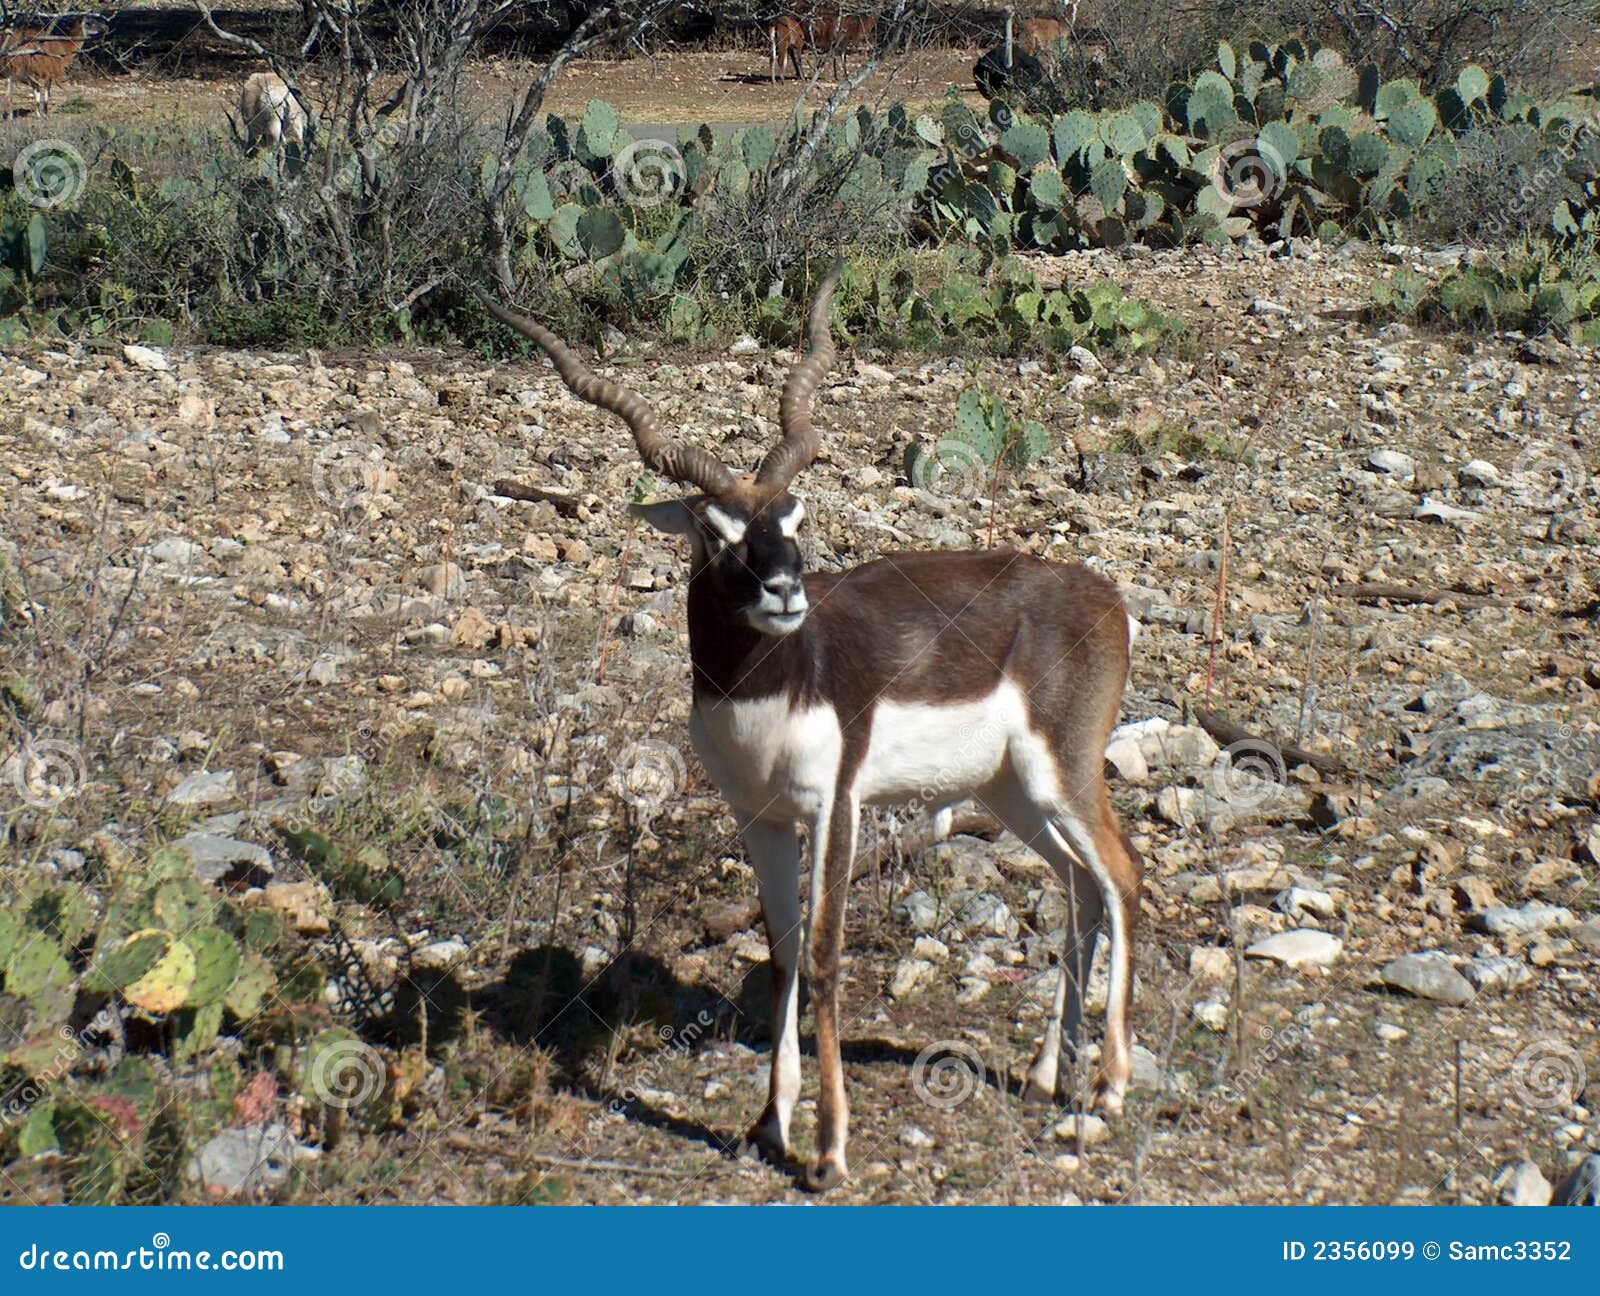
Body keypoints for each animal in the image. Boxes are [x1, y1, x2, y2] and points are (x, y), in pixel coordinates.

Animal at [480, 264, 1143, 1193]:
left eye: (794, 520)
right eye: (715, 532)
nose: (785, 592)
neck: (772, 694)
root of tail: (1102, 596)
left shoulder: (837, 805)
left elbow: (826, 957)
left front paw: (828, 1148)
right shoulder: (759, 818)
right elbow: (784, 951)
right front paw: (769, 1122)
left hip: (1064, 771)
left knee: (1122, 880)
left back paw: (1110, 1088)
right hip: (1009, 791)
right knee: (1080, 887)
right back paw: (1052, 1074)